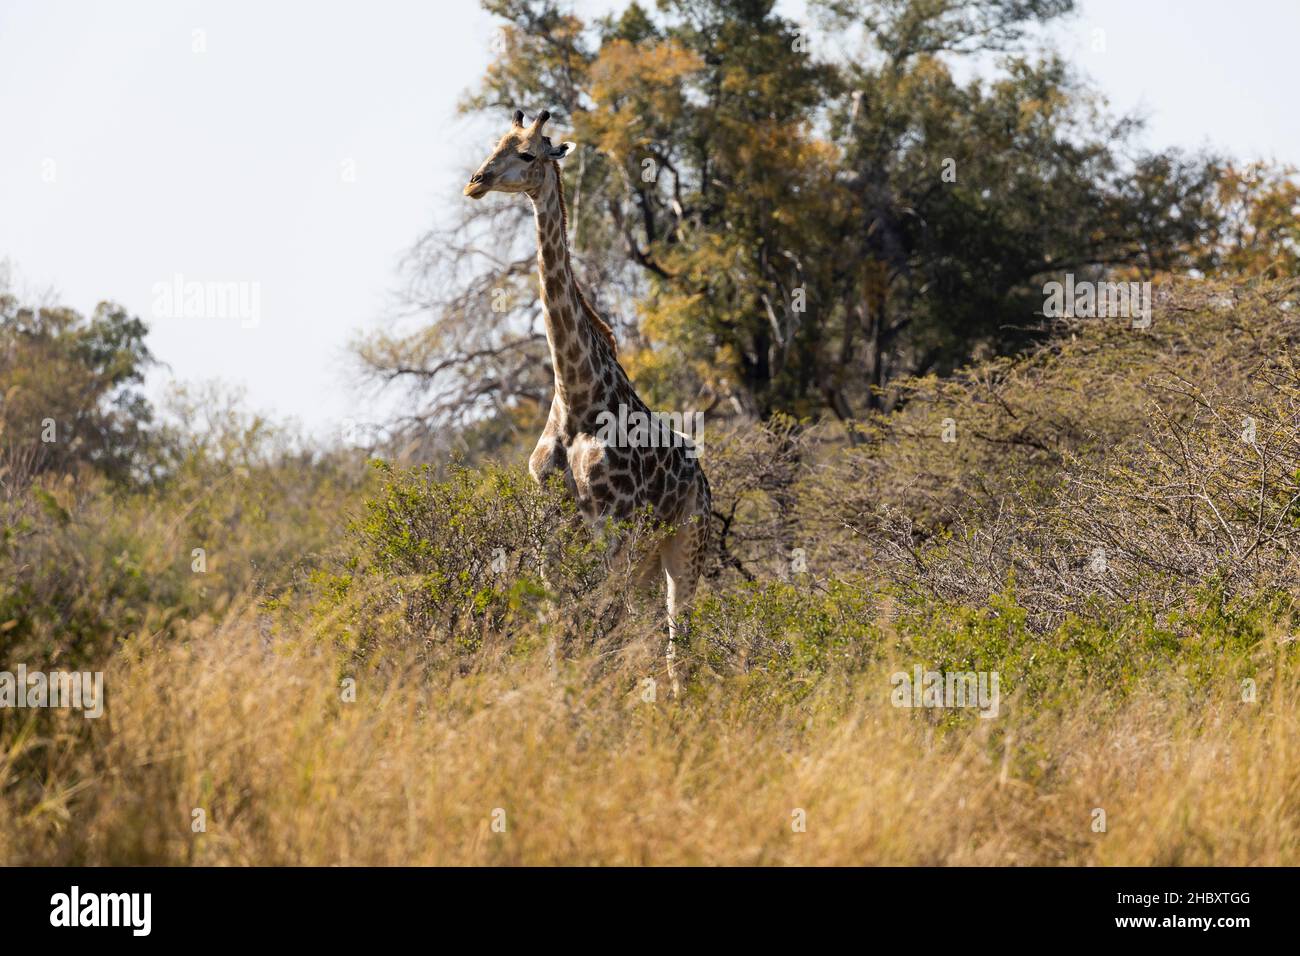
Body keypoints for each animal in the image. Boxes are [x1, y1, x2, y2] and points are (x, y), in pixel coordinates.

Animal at [465, 109, 710, 695]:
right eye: (496, 144)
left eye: (529, 153)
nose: (476, 182)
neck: (576, 398)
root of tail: (704, 476)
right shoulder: (550, 534)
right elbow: (560, 630)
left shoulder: (611, 529)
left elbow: (604, 634)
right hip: (646, 556)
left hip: (685, 544)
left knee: (677, 640)